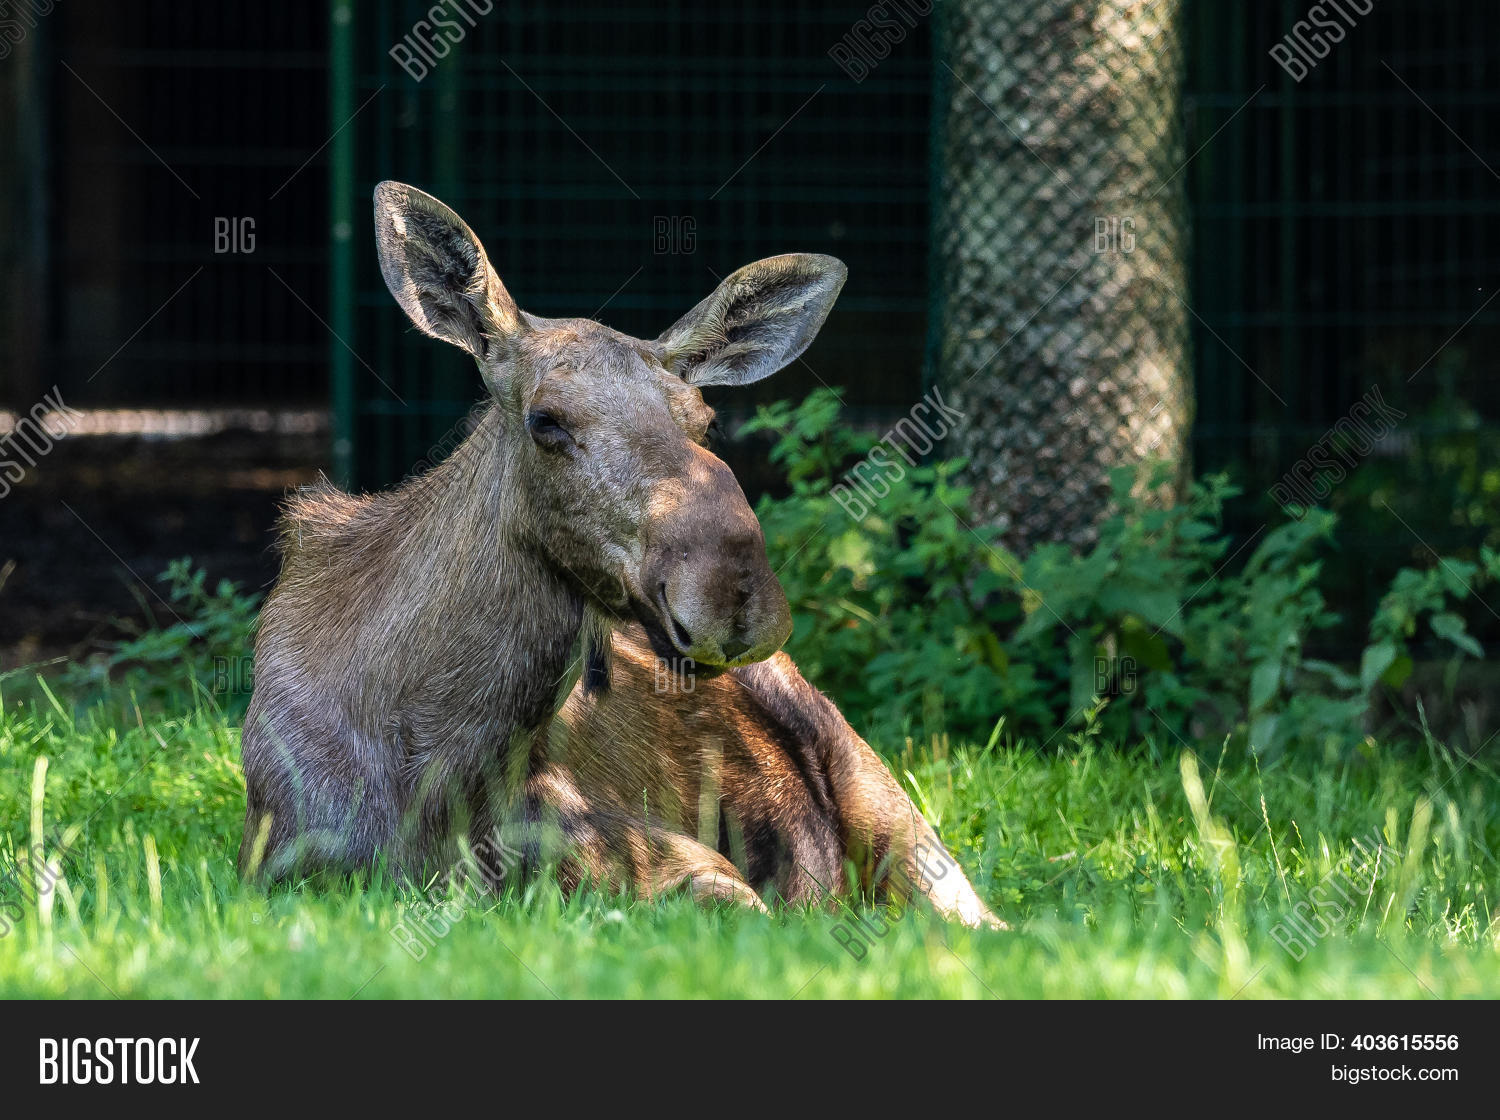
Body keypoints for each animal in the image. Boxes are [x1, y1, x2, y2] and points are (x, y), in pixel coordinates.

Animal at [239, 181, 1002, 929]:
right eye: (545, 421)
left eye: (704, 420)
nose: (734, 598)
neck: (433, 774)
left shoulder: (677, 861)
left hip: (895, 815)